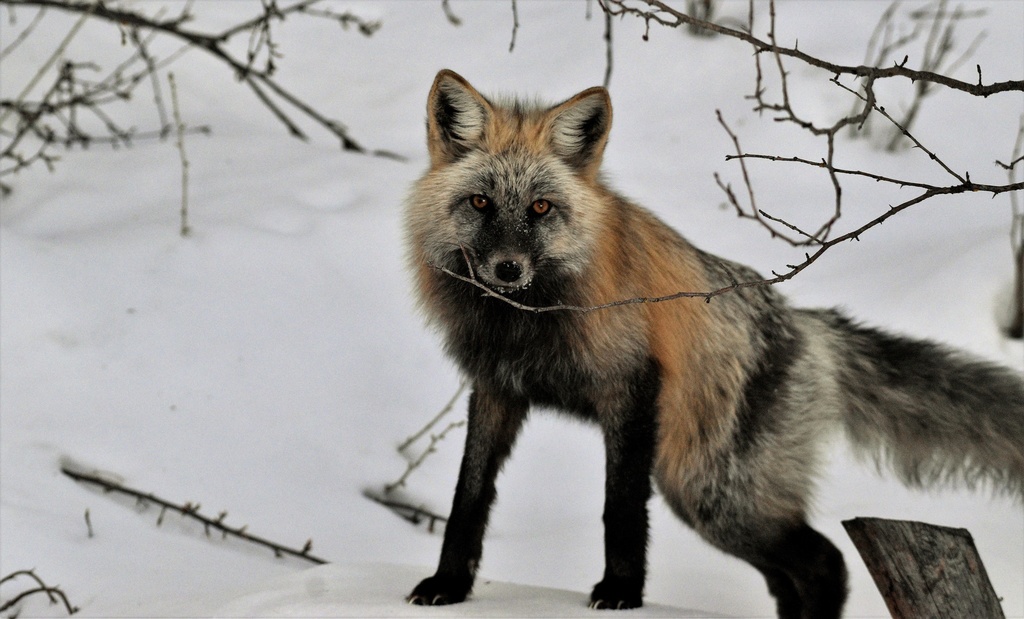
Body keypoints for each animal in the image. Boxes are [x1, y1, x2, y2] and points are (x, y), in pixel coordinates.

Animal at [403, 69, 1024, 618]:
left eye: (540, 208)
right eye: (481, 203)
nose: (507, 269)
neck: (523, 322)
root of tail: (804, 323)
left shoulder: (631, 389)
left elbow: (619, 509)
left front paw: (622, 592)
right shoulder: (496, 389)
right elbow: (468, 498)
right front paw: (449, 585)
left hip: (708, 491)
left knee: (826, 563)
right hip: (712, 496)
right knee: (792, 578)